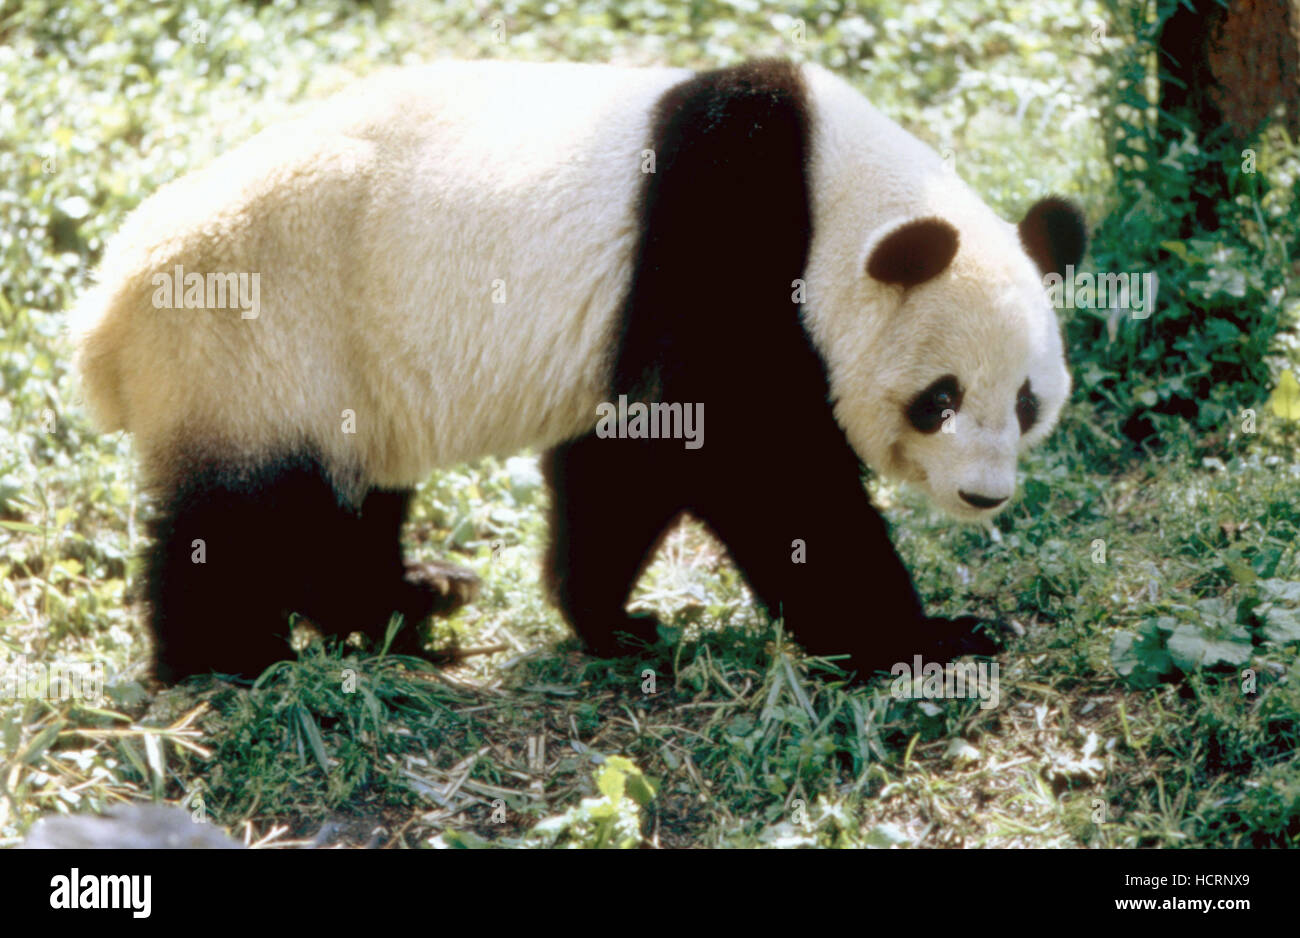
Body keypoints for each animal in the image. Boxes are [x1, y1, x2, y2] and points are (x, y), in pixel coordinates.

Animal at [72, 58, 1085, 684]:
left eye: (1027, 401)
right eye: (939, 399)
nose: (987, 495)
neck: (836, 190)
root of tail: (107, 307)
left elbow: (622, 456)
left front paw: (610, 619)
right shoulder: (727, 226)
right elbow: (756, 463)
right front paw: (929, 641)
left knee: (349, 499)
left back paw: (407, 603)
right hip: (260, 339)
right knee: (239, 517)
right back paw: (232, 664)